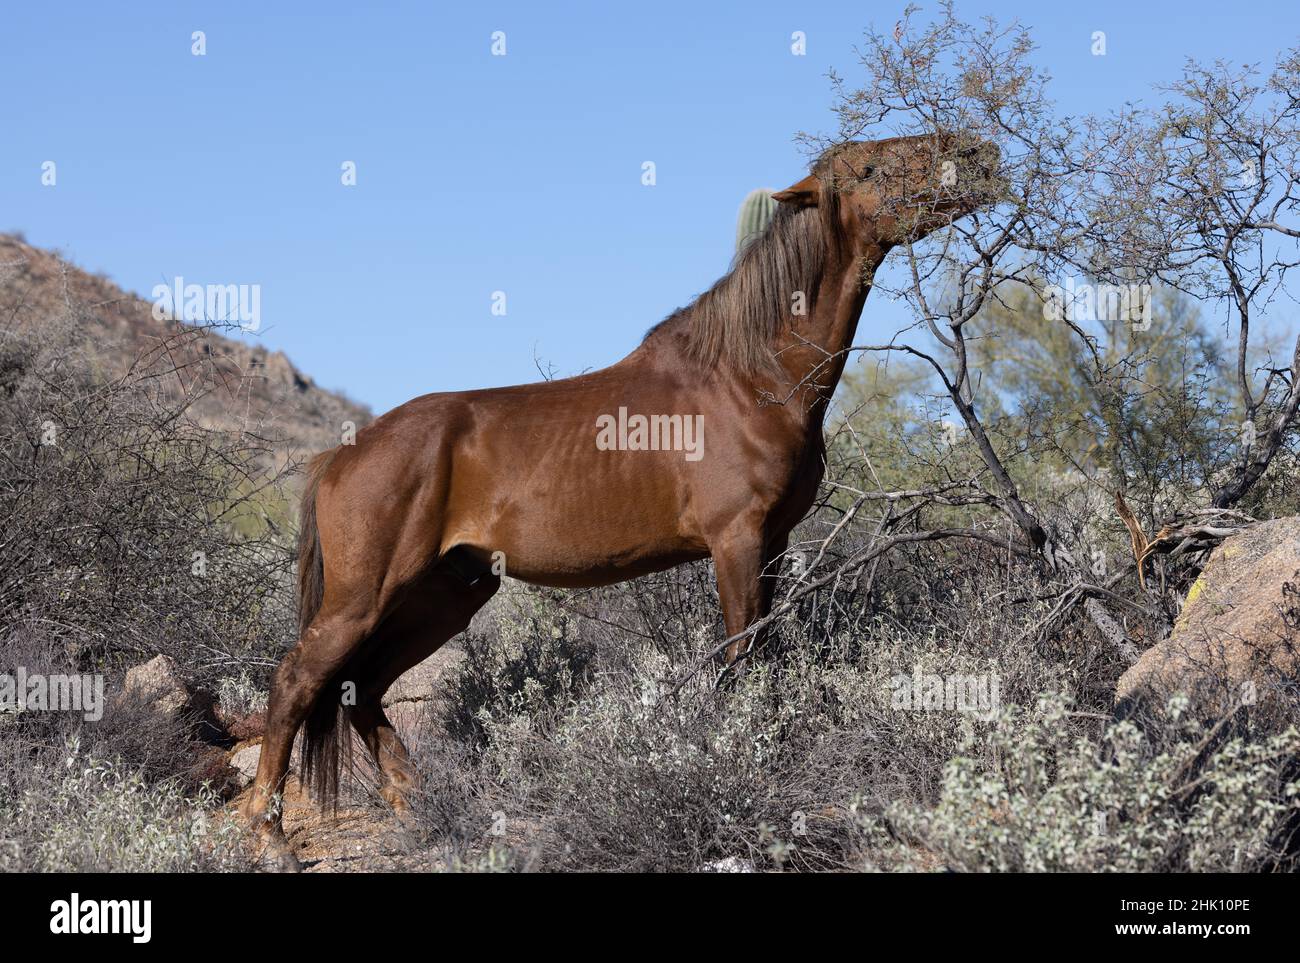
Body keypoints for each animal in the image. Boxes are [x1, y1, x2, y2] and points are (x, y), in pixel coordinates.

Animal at [244, 132, 1000, 869]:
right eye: (870, 168)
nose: (977, 155)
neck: (748, 375)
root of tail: (343, 452)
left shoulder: (774, 543)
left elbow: (768, 661)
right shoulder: (738, 540)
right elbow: (742, 660)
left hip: (447, 593)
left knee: (363, 686)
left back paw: (417, 803)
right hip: (364, 595)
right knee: (296, 682)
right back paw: (271, 835)